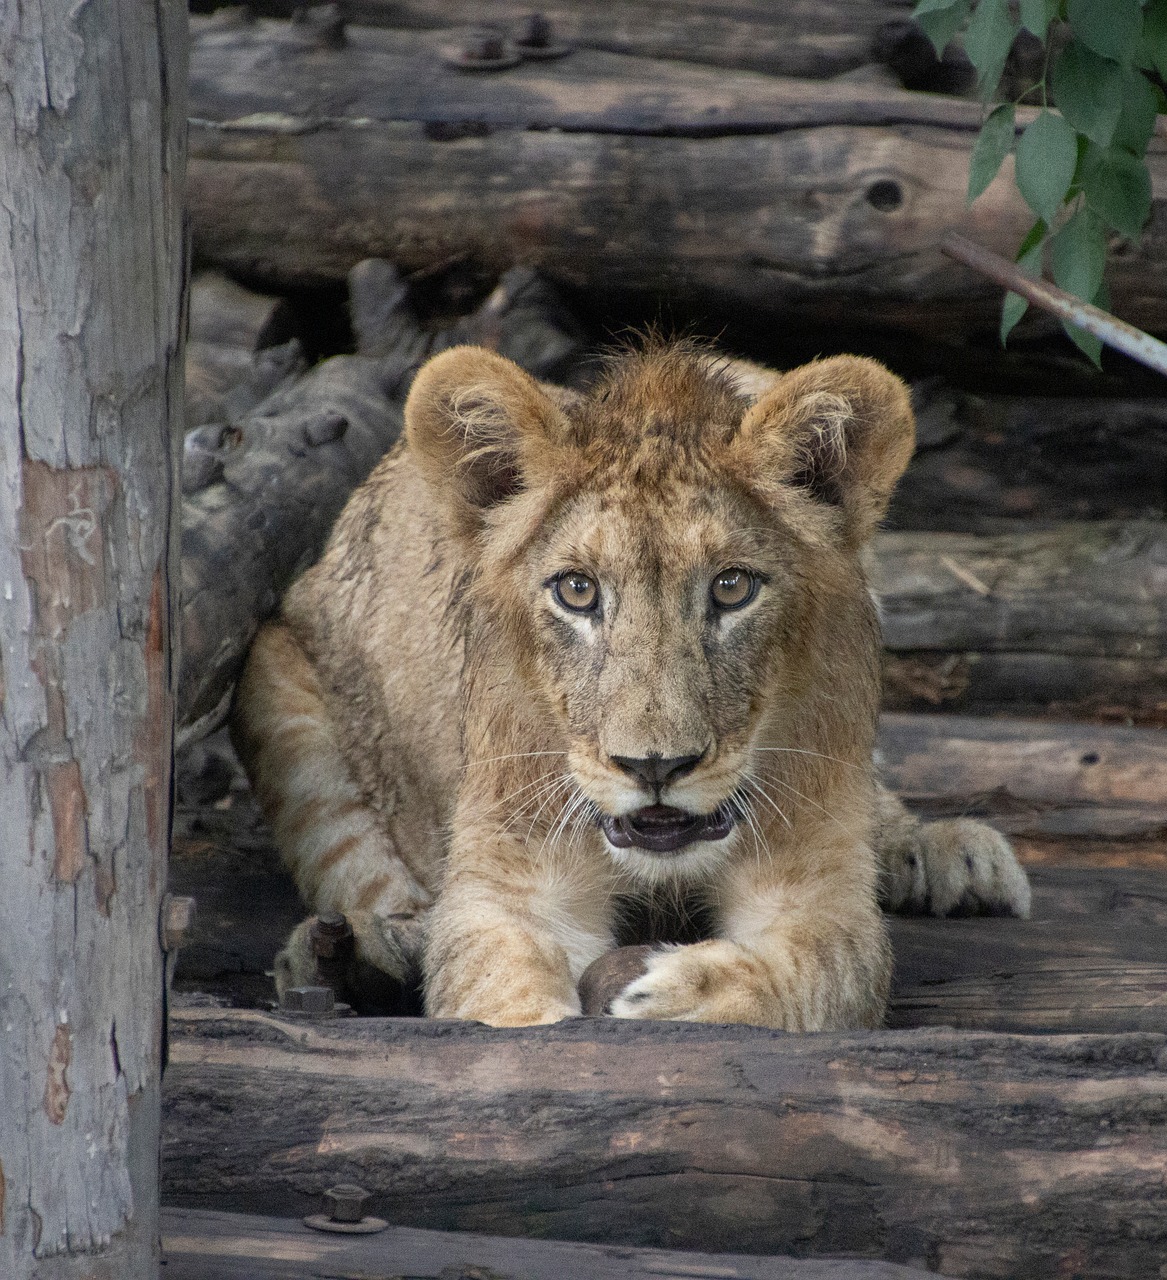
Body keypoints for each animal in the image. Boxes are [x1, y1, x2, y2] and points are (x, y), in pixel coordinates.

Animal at [230, 340, 1030, 1028]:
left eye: (732, 587)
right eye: (577, 591)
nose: (655, 767)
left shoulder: (817, 885)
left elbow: (811, 974)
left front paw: (674, 996)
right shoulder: (508, 884)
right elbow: (494, 987)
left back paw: (947, 854)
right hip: (279, 689)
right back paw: (364, 955)